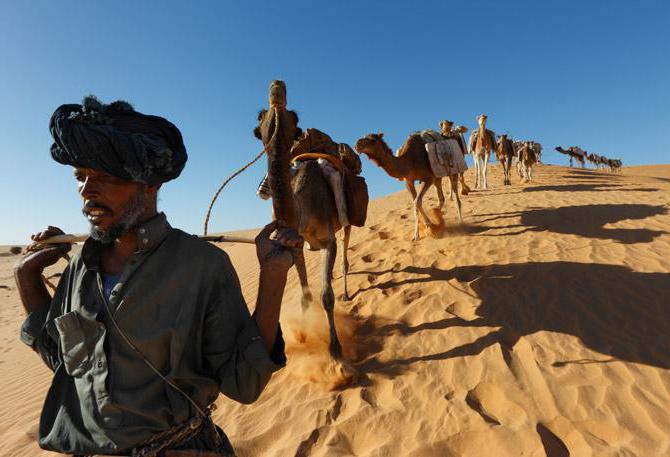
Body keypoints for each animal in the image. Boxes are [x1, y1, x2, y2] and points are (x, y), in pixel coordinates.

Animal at [255, 79, 354, 364]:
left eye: (295, 117)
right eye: (259, 117)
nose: (276, 86)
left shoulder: (328, 240)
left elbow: (326, 297)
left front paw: (336, 351)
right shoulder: (295, 244)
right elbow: (306, 296)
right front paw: (304, 336)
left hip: (346, 219)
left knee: (345, 250)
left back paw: (345, 289)